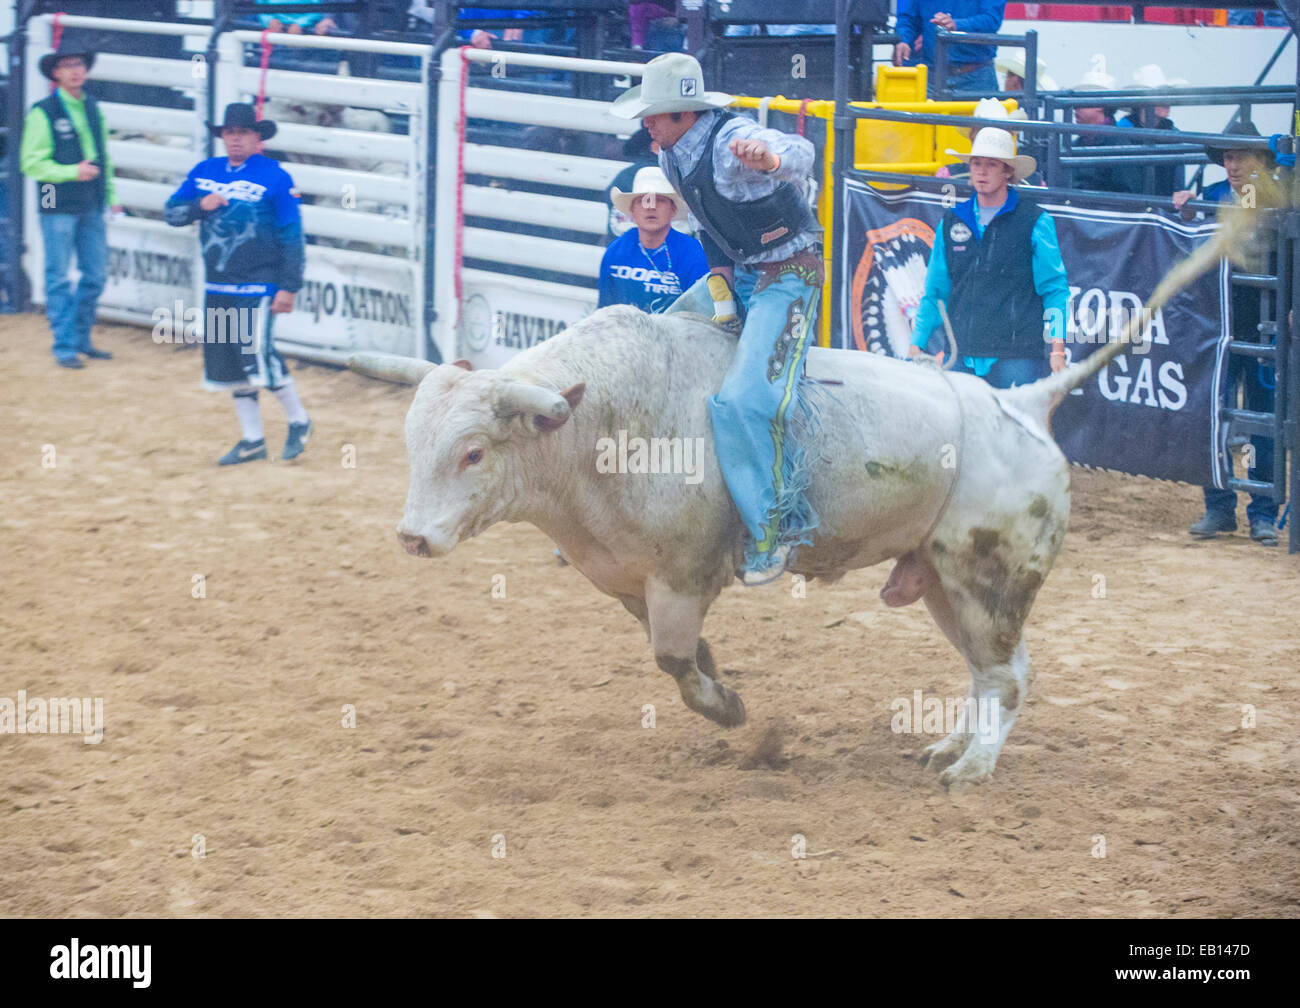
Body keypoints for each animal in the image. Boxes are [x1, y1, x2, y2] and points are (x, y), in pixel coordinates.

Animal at [349, 208, 1250, 787]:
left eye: (472, 451)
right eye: (414, 445)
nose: (413, 537)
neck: (597, 423)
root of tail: (1023, 403)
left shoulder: (680, 578)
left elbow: (676, 664)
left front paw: (734, 712)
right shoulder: (632, 586)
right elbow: (682, 657)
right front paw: (725, 690)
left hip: (987, 577)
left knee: (1006, 675)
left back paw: (972, 768)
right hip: (940, 578)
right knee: (990, 670)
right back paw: (949, 748)